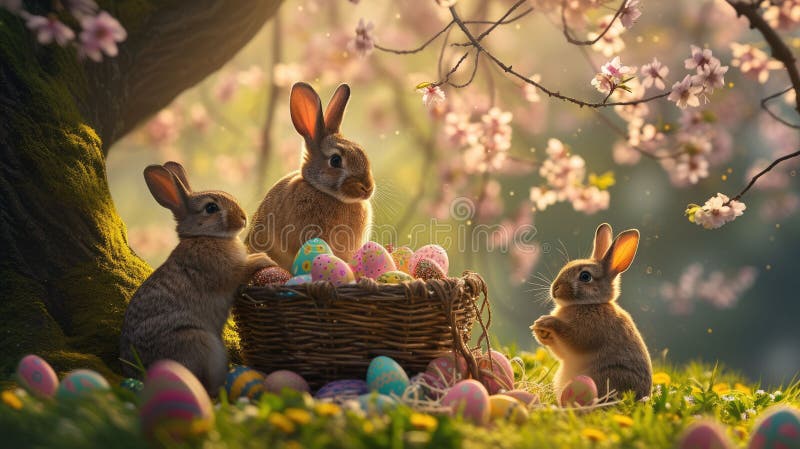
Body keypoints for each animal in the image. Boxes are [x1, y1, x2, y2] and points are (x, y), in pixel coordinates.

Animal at [120, 161, 275, 395]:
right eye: (211, 208)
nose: (243, 218)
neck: (203, 236)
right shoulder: (228, 272)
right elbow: (243, 270)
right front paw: (264, 259)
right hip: (199, 342)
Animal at [531, 223, 652, 401]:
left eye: (585, 276)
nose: (555, 288)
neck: (590, 303)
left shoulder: (589, 332)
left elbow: (574, 337)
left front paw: (546, 322)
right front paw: (541, 332)